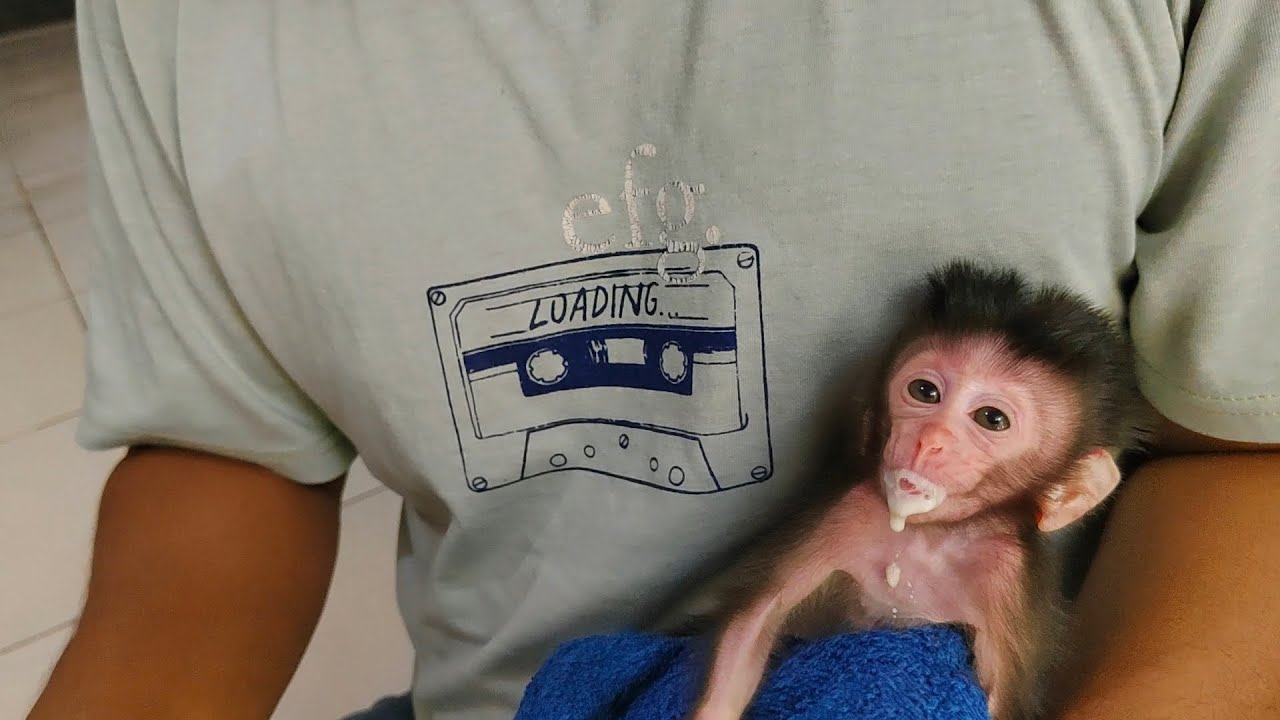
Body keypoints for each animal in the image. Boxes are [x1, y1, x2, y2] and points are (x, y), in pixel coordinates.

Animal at [681, 260, 1154, 720]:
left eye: (992, 419)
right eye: (924, 391)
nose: (929, 440)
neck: (929, 537)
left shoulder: (1008, 578)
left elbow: (1002, 699)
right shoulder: (848, 513)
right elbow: (757, 619)